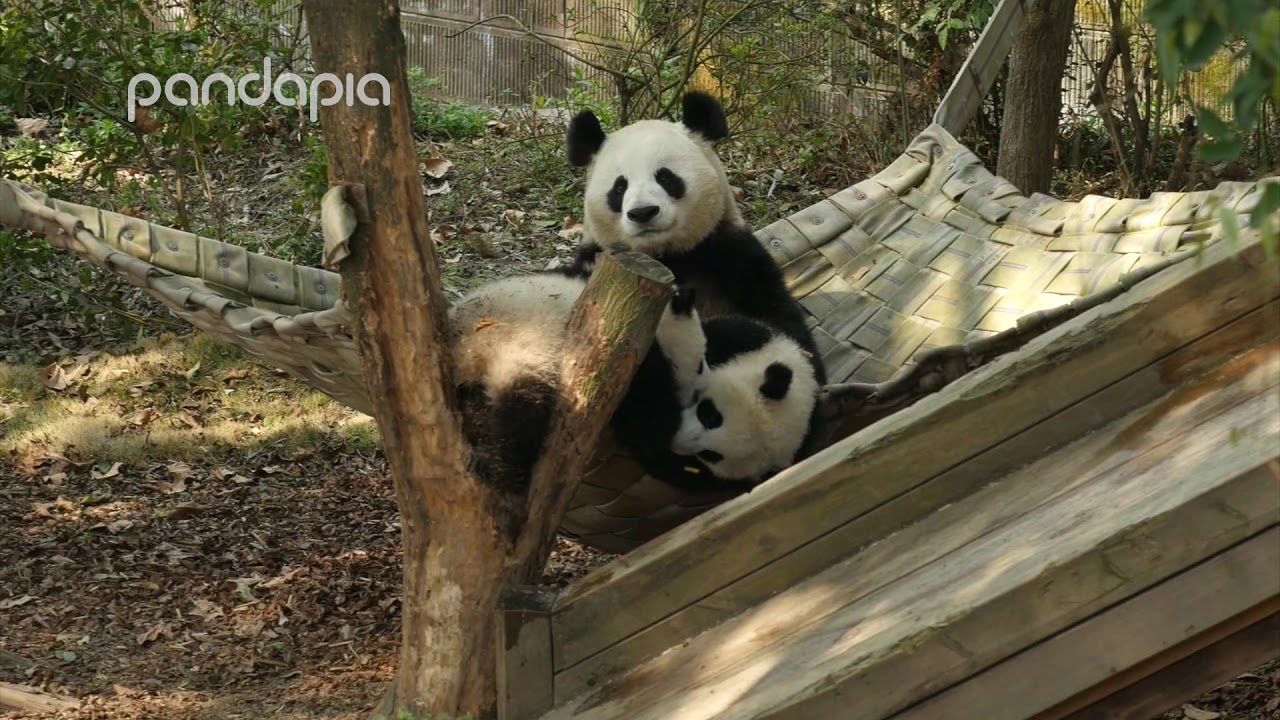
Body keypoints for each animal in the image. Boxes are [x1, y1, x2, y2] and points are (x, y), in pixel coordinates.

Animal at [562, 91, 826, 388]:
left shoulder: (728, 251)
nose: (643, 212)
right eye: (619, 187)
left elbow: (774, 313)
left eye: (666, 177)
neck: (666, 254)